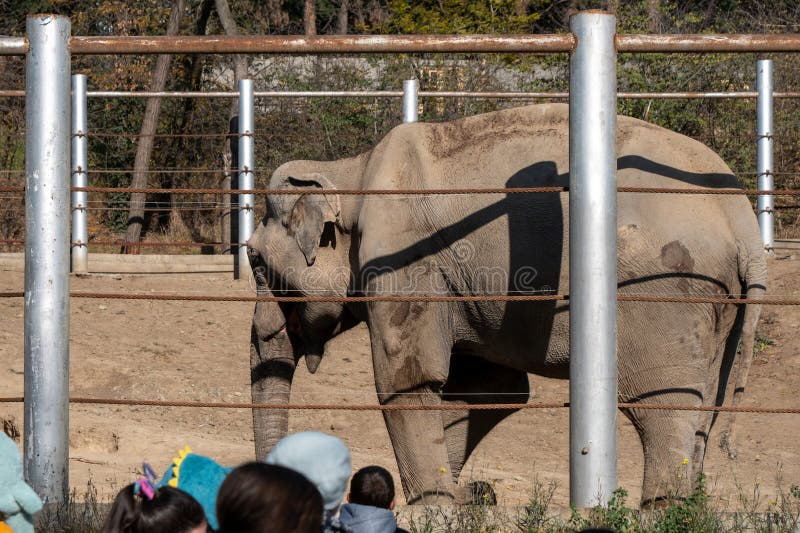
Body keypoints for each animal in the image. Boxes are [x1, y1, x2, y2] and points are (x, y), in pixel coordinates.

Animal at [246, 103, 766, 506]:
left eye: (254, 261)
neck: (352, 167)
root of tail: (742, 220)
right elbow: (486, 388)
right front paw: (453, 503)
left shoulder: (403, 260)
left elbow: (408, 381)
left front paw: (433, 508)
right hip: (722, 307)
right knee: (702, 412)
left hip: (664, 293)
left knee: (660, 410)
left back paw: (659, 511)